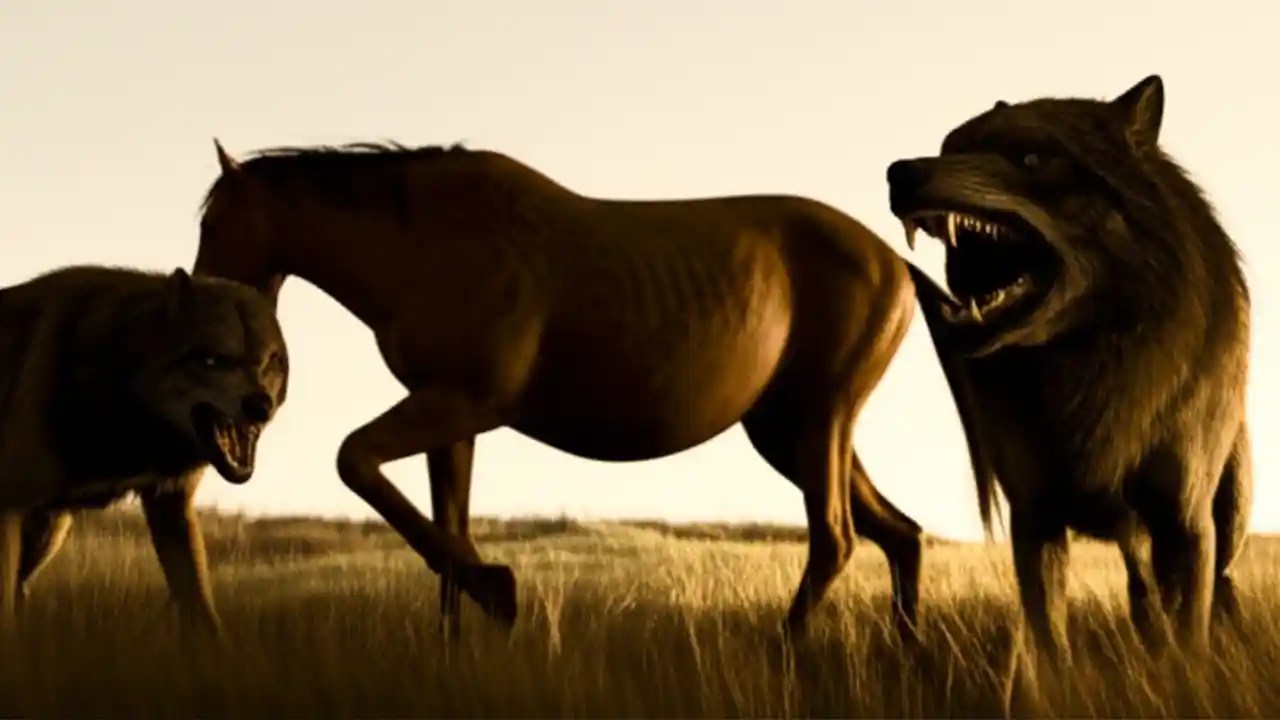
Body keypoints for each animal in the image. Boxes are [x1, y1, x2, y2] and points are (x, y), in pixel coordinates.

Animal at [0, 266, 288, 636]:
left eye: (270, 361)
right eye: (212, 359)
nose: (260, 406)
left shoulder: (171, 503)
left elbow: (202, 612)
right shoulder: (8, 506)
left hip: (50, 531)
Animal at [193, 139, 924, 643]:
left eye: (211, 225)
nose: (200, 329)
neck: (426, 245)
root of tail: (895, 263)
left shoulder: (463, 403)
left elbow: (355, 460)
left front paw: (499, 589)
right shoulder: (450, 416)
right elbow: (444, 524)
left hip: (819, 418)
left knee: (835, 538)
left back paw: (788, 649)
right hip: (787, 429)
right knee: (900, 534)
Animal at [885, 75, 1251, 678]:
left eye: (1032, 158)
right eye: (950, 147)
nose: (900, 173)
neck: (1085, 370)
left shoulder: (1185, 523)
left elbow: (1189, 639)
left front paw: (1184, 680)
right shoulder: (1036, 520)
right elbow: (1051, 641)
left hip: (1228, 525)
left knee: (1217, 585)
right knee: (1141, 593)